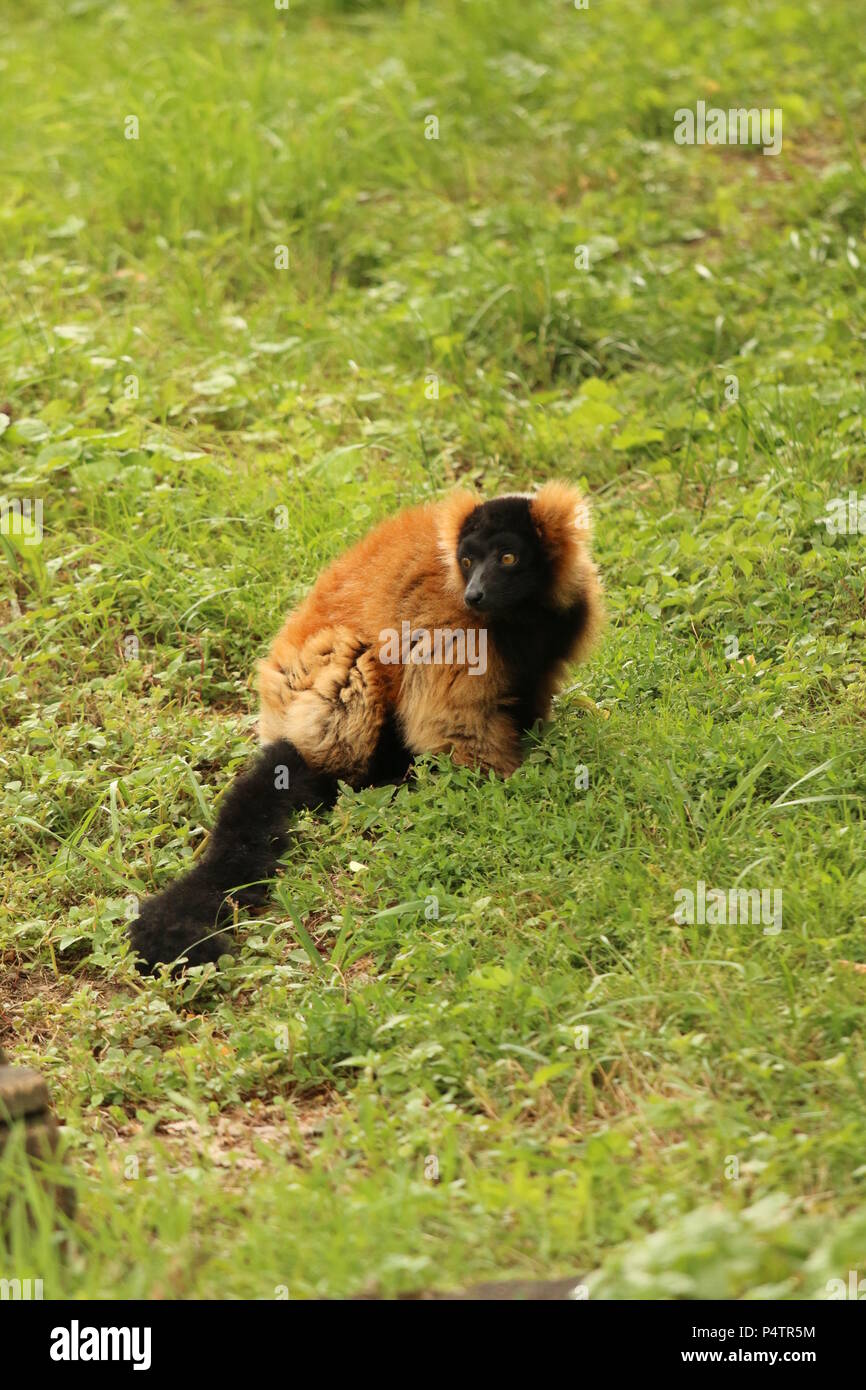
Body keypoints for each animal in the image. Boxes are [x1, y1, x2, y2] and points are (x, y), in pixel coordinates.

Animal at [128, 481, 604, 972]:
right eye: (468, 561)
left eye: (507, 557)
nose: (474, 594)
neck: (521, 613)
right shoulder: (454, 627)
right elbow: (449, 726)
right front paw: (518, 783)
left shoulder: (560, 620)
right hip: (315, 700)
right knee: (352, 667)